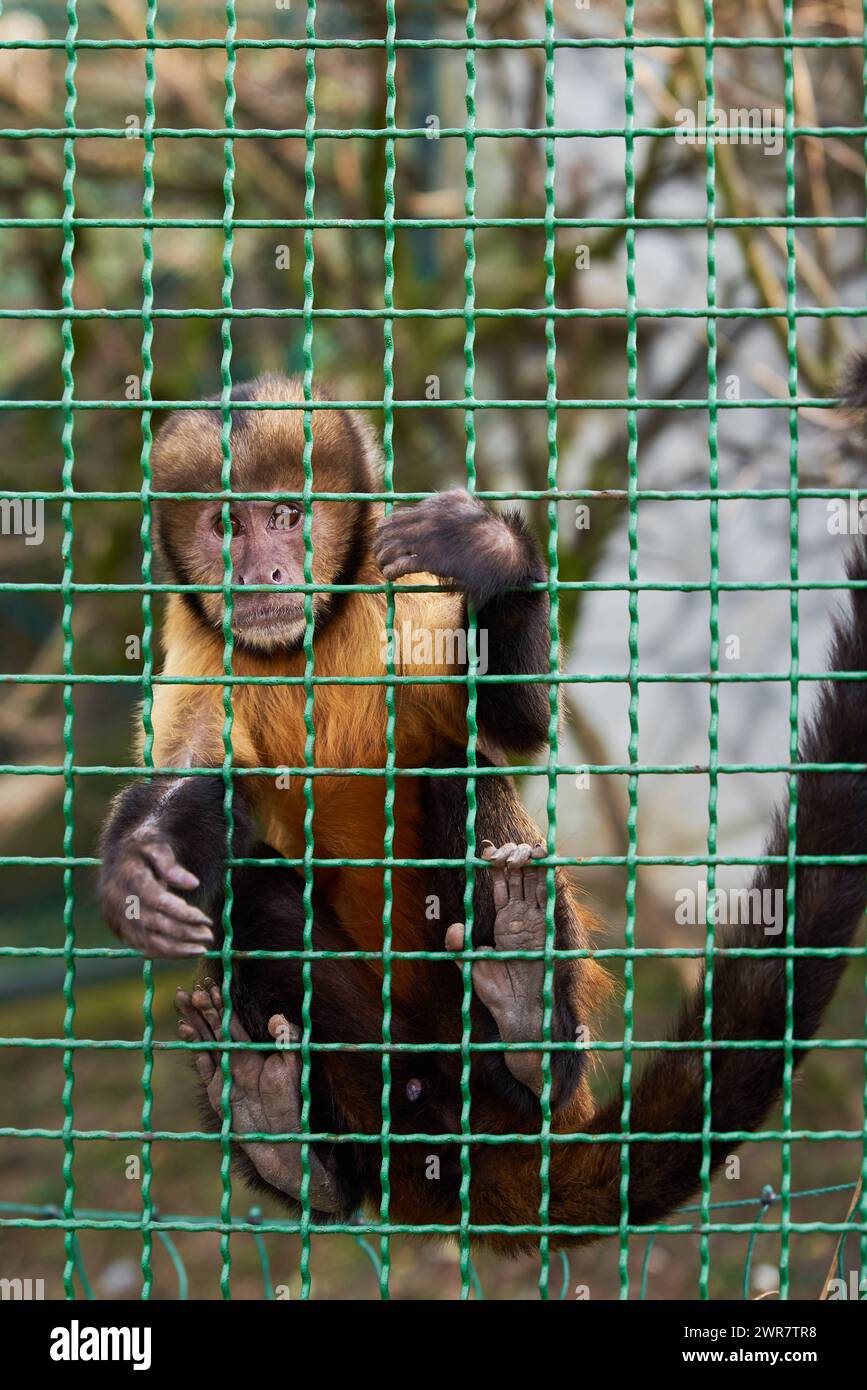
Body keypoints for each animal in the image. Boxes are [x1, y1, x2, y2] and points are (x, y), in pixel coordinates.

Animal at [99, 368, 867, 1255]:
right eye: (228, 524)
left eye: (287, 516)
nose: (262, 577)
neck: (307, 639)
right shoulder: (200, 647)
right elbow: (194, 784)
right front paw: (140, 866)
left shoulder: (402, 589)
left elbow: (512, 724)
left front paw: (494, 555)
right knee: (253, 888)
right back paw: (294, 1146)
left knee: (453, 769)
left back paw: (528, 1027)